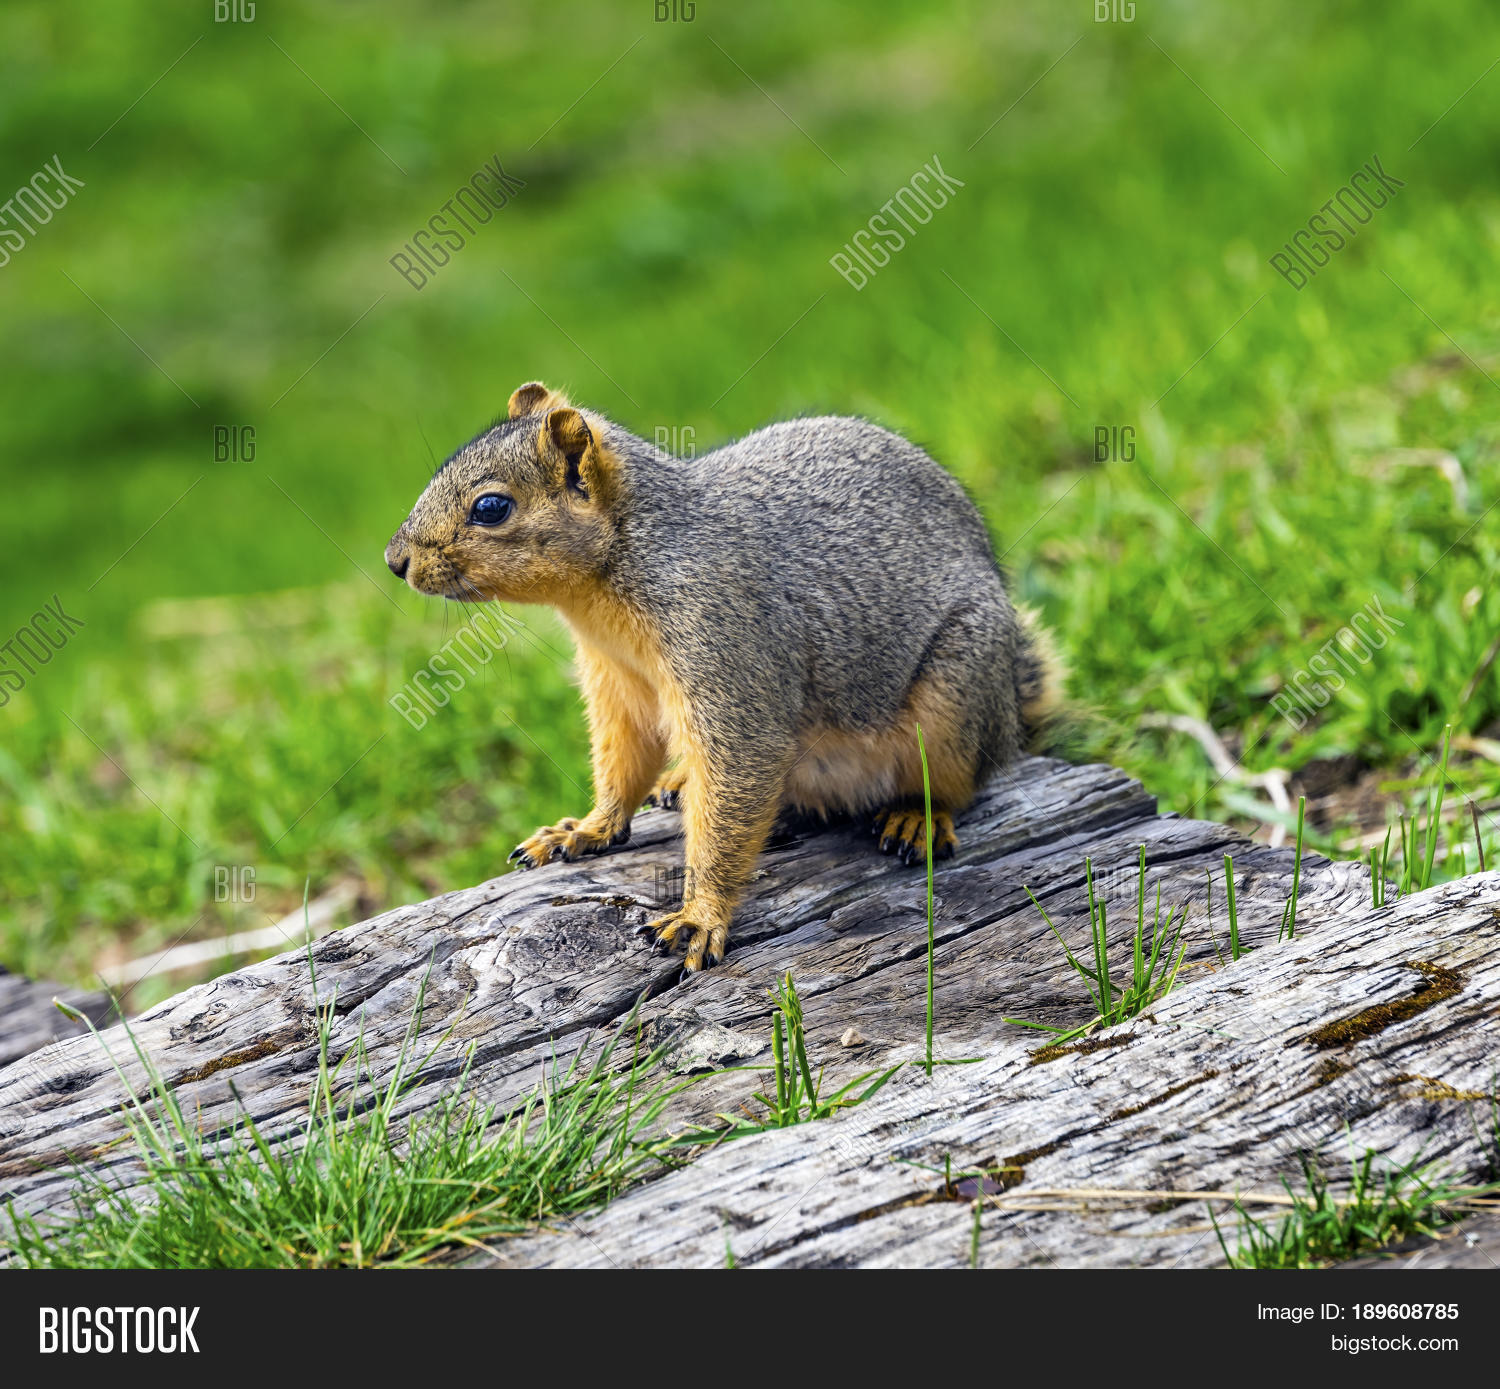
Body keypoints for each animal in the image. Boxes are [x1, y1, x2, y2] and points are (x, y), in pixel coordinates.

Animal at [385, 382, 1064, 974]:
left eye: (491, 507)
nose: (396, 561)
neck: (605, 589)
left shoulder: (722, 638)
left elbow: (737, 770)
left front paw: (698, 918)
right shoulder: (618, 684)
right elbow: (622, 760)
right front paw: (585, 829)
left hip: (957, 696)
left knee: (962, 781)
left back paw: (917, 816)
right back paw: (681, 780)